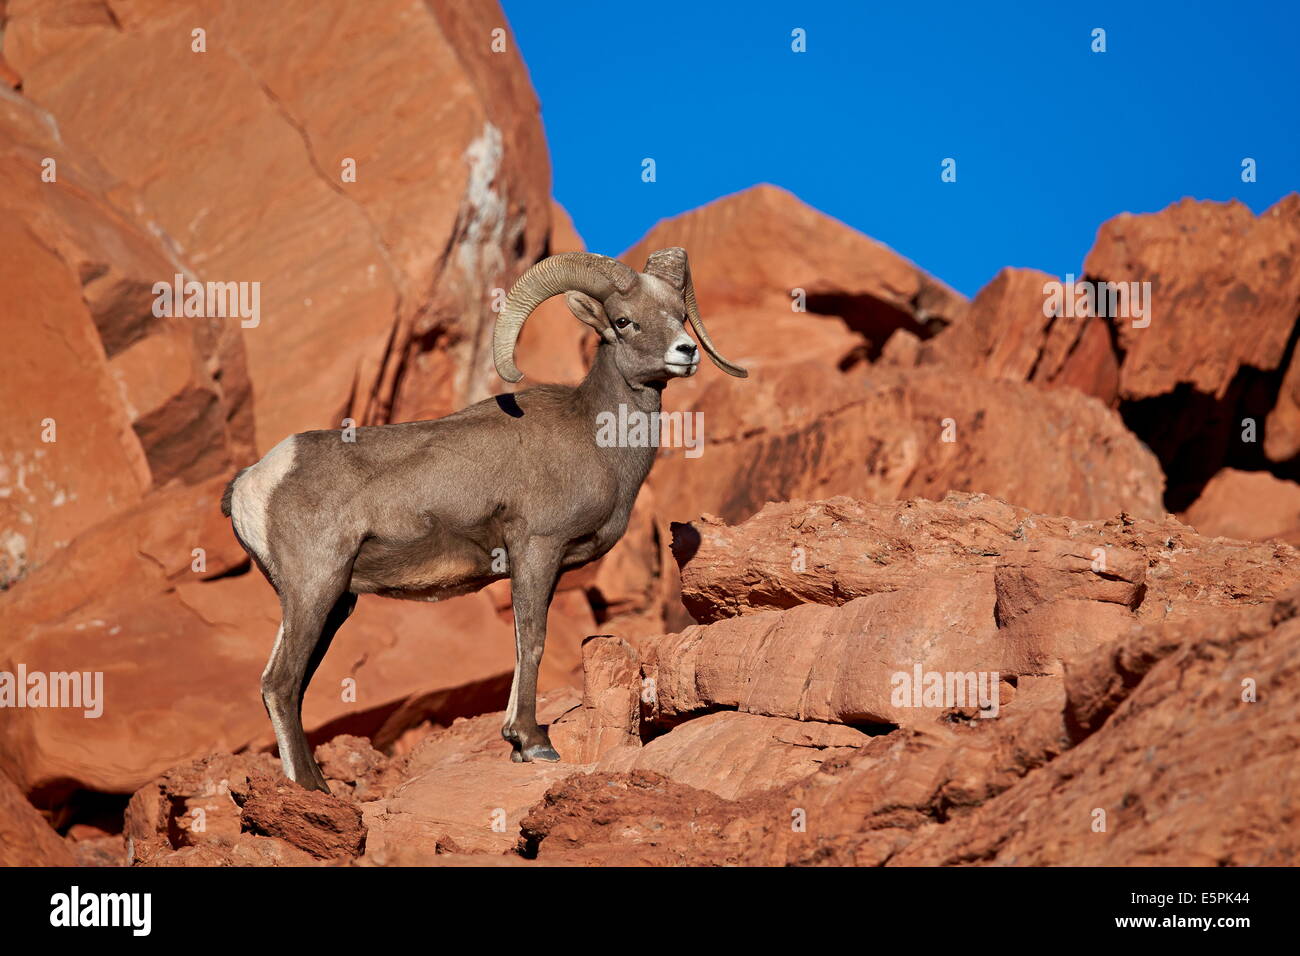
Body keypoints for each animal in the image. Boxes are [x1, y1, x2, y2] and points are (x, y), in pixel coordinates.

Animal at [221, 248, 746, 792]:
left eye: (680, 315)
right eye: (624, 321)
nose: (686, 351)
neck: (596, 437)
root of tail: (254, 481)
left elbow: (520, 642)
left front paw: (515, 742)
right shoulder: (537, 548)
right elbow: (532, 641)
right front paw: (533, 744)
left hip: (331, 602)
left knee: (291, 684)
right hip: (315, 588)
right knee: (281, 683)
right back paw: (309, 787)